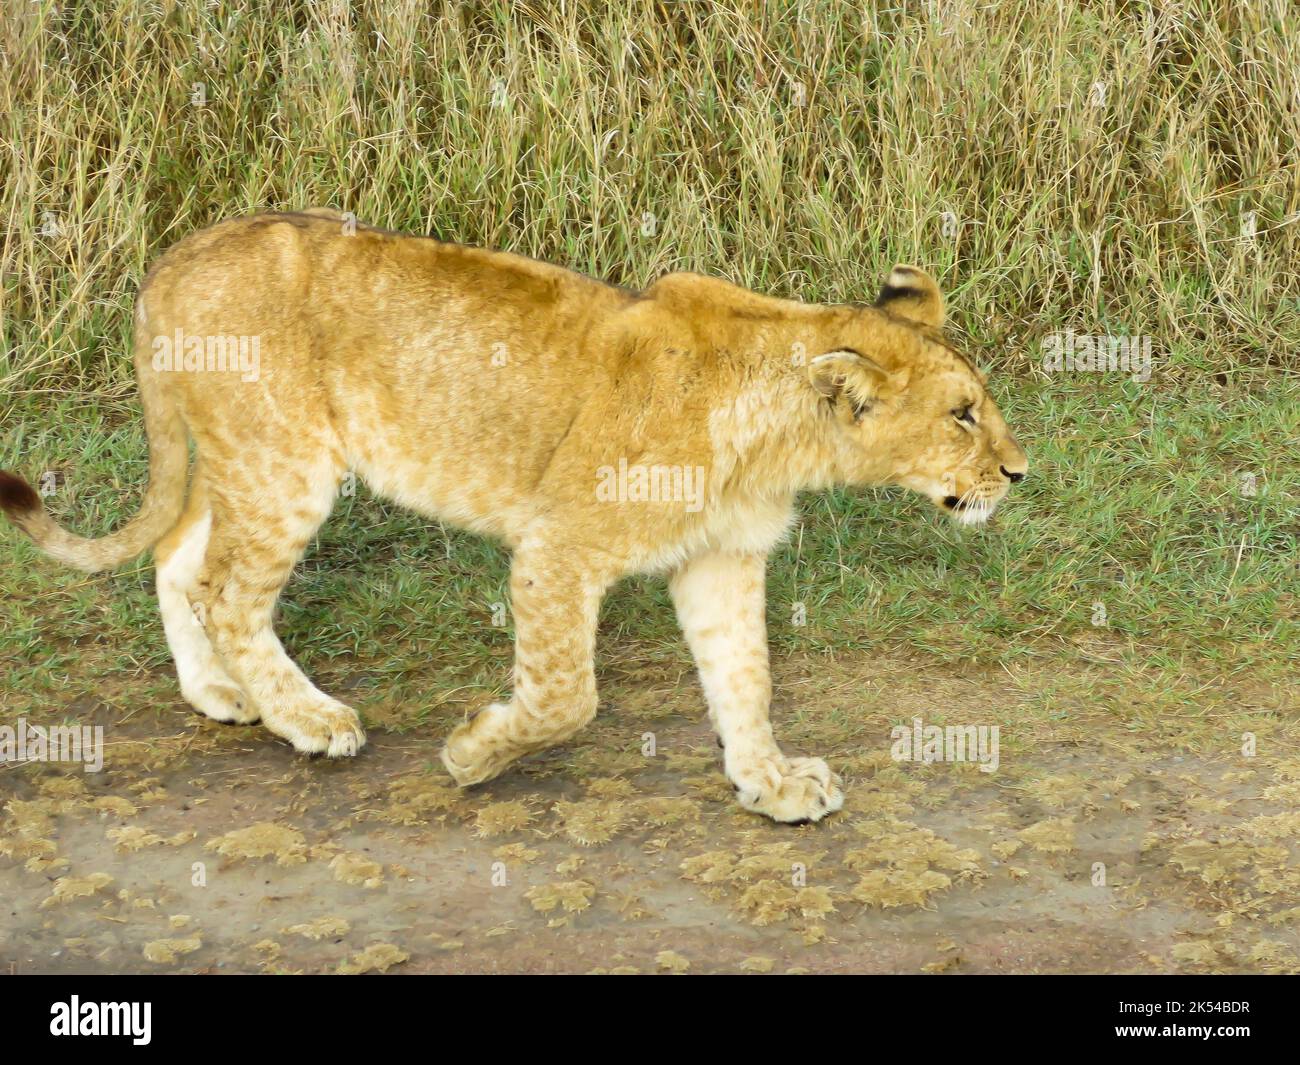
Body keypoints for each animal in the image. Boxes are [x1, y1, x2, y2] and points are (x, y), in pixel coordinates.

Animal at [0, 209, 1027, 823]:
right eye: (962, 414)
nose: (1019, 472)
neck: (779, 429)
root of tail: (173, 259)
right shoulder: (559, 546)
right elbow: (567, 697)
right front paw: (474, 753)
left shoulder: (721, 559)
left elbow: (747, 680)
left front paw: (771, 783)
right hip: (284, 466)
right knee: (225, 589)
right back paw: (308, 718)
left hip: (240, 462)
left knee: (177, 557)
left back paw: (220, 694)